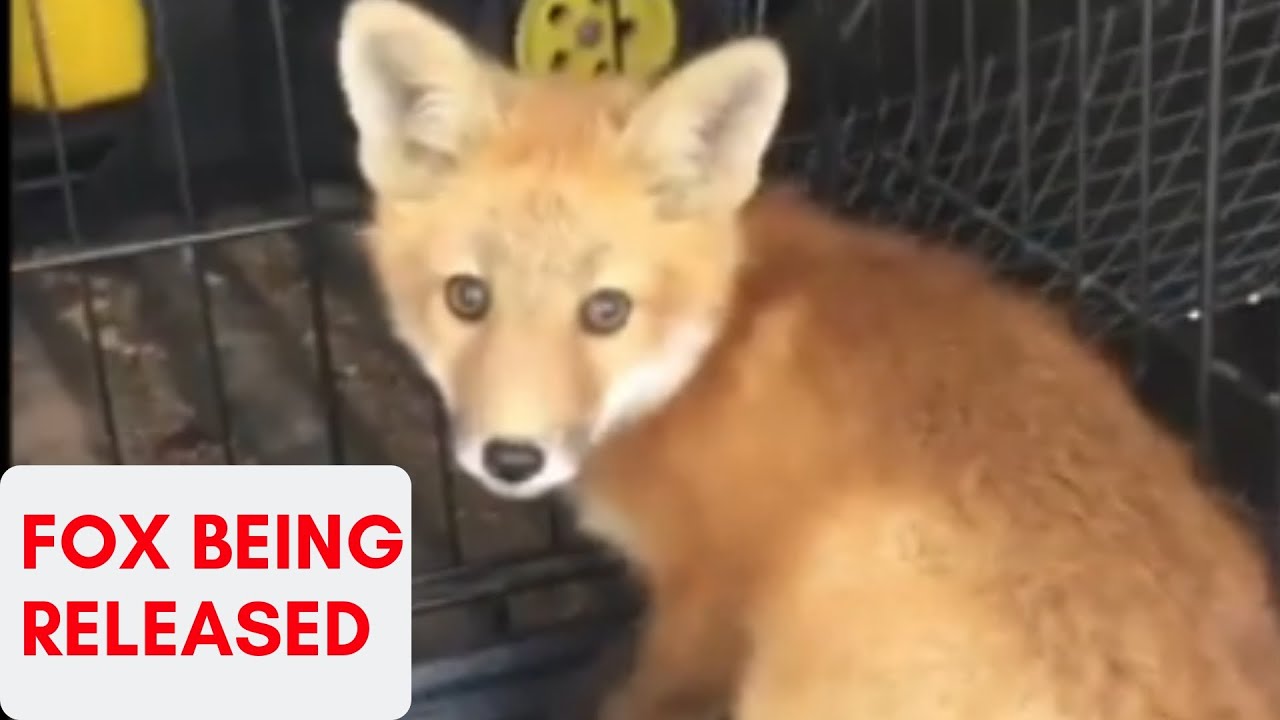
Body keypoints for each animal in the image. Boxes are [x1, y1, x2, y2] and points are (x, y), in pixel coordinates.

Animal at [336, 1, 1280, 718]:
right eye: (468, 298)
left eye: (606, 311)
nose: (512, 457)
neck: (706, 353)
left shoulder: (707, 596)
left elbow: (642, 698)